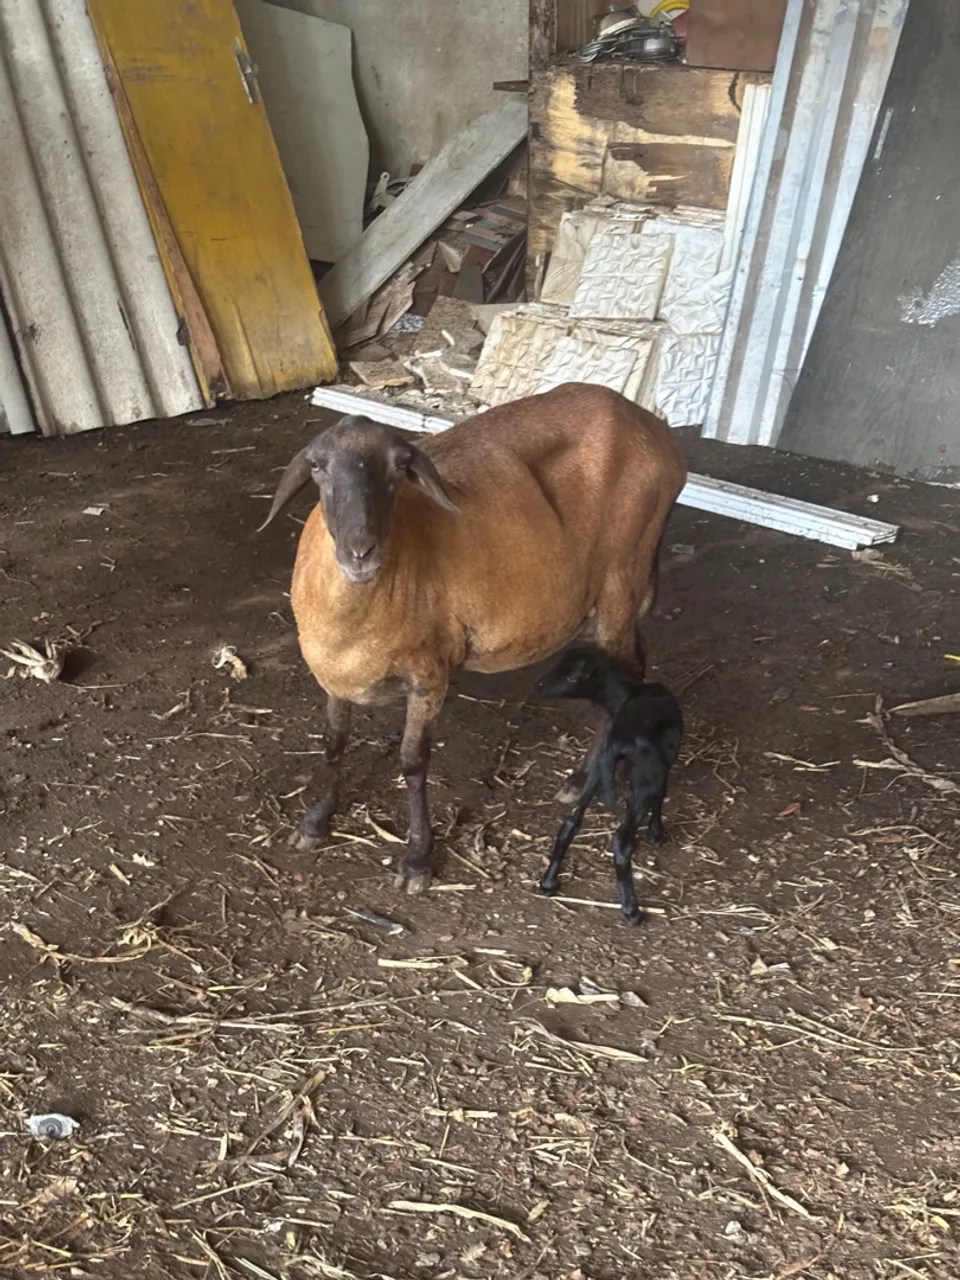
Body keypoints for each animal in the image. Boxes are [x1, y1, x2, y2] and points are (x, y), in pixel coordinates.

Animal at [258, 383, 686, 895]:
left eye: (399, 467)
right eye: (317, 466)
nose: (360, 551)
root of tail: (655, 429)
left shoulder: (429, 674)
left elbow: (413, 762)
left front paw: (417, 860)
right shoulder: (334, 677)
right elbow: (333, 743)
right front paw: (316, 822)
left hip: (622, 579)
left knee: (625, 674)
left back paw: (581, 778)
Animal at [537, 645, 683, 924]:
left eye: (569, 675)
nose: (539, 685)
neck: (625, 694)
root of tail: (620, 739)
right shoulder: (665, 758)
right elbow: (661, 795)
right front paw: (656, 833)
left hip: (597, 768)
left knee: (571, 821)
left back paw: (548, 882)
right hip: (647, 774)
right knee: (621, 841)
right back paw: (631, 910)